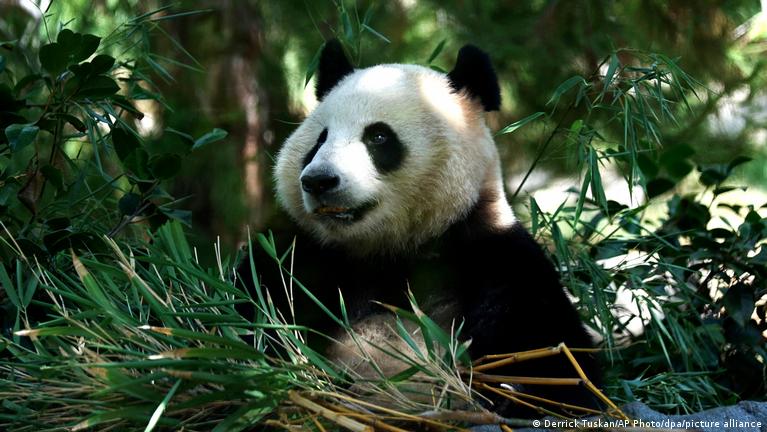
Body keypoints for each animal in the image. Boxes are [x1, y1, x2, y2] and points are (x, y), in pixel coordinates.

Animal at [240, 39, 602, 417]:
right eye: (319, 140)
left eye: (378, 136)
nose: (319, 181)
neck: (390, 248)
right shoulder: (300, 257)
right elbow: (249, 312)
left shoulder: (496, 257)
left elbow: (558, 363)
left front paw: (513, 392)